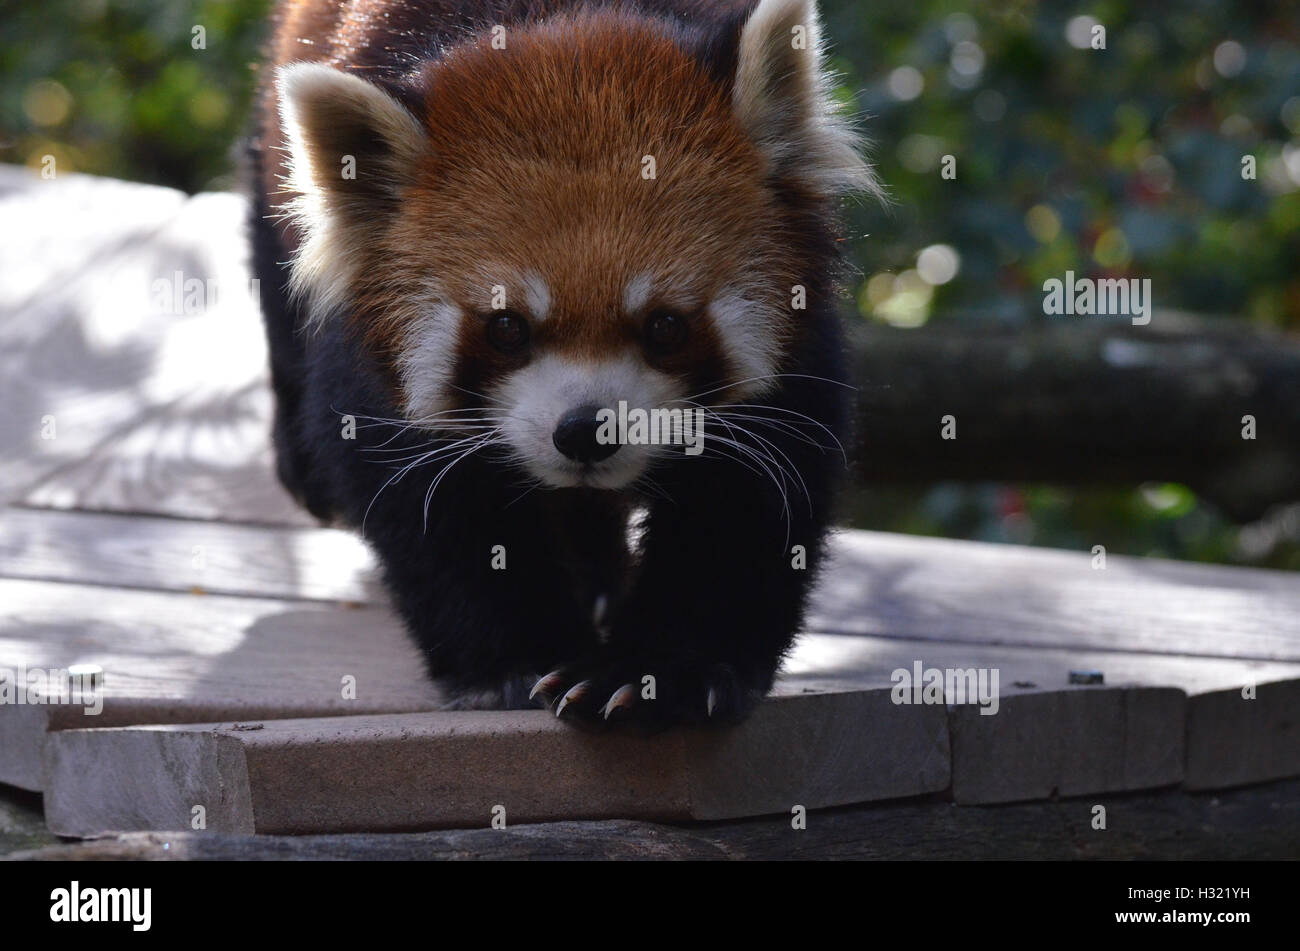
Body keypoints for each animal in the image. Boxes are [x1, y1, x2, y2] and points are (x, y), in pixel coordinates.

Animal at [248, 1, 878, 727]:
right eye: (506, 328)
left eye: (665, 325)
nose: (586, 431)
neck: (559, 29)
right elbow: (435, 509)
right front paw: (515, 661)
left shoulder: (798, 348)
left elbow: (745, 499)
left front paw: (661, 670)